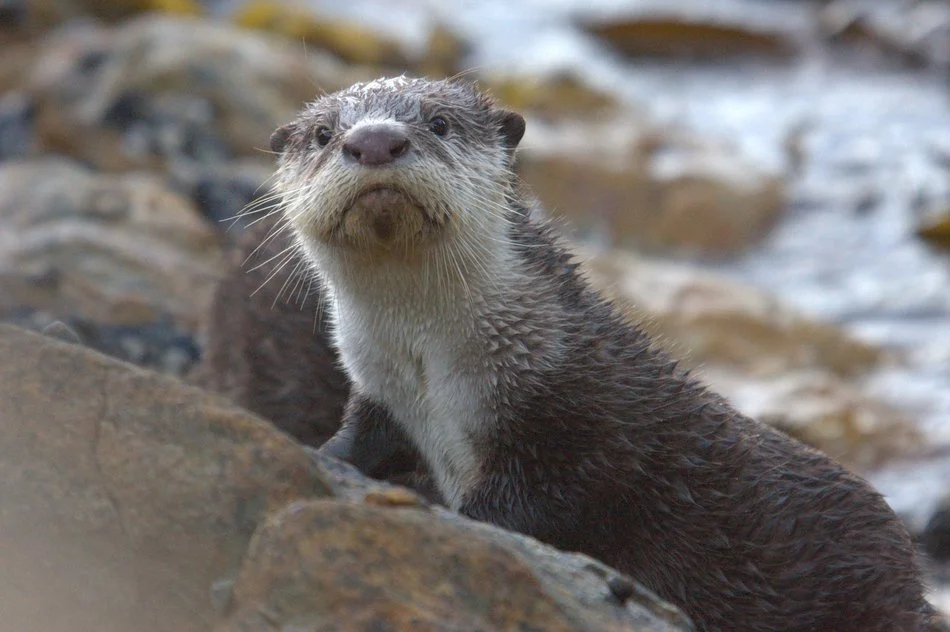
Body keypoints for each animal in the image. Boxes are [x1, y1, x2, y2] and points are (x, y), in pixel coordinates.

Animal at [260, 76, 942, 631]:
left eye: (439, 122)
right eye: (324, 133)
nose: (375, 140)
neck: (437, 374)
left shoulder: (587, 419)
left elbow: (552, 498)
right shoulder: (384, 392)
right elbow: (358, 439)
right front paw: (327, 457)